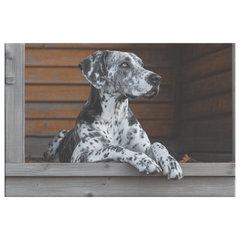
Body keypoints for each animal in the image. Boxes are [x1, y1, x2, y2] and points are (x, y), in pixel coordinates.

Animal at [43, 50, 183, 178]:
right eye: (124, 64)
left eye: (141, 64)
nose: (157, 78)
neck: (114, 116)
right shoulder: (79, 156)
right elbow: (114, 148)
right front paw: (144, 161)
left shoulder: (144, 147)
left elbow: (158, 144)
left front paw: (171, 163)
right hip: (59, 137)